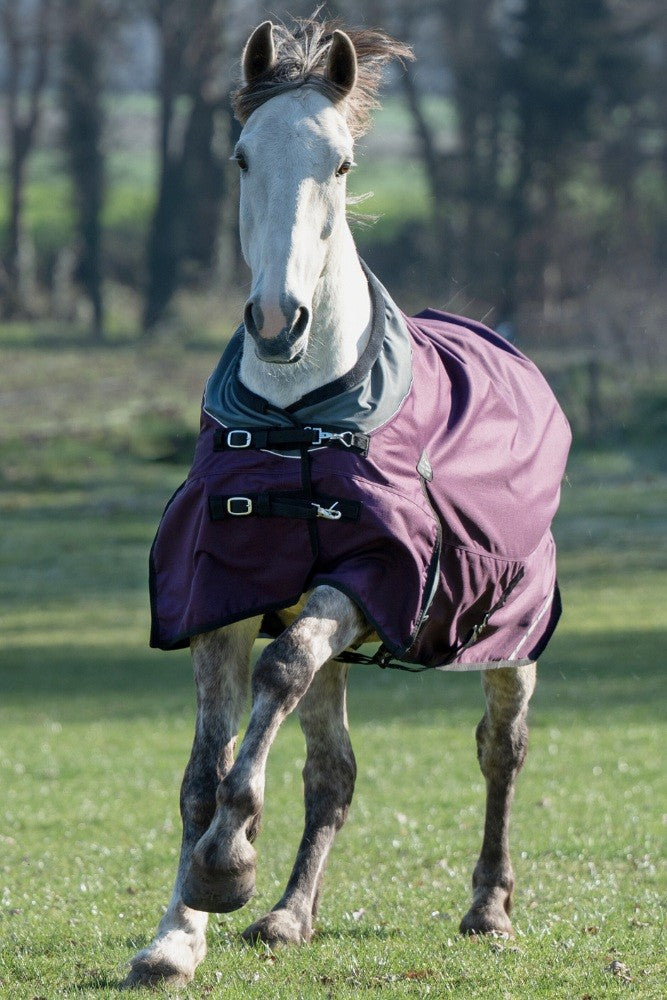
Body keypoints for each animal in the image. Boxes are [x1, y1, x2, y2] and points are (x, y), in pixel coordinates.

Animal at [124, 18, 571, 988]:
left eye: (340, 162)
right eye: (242, 157)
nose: (276, 320)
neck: (300, 427)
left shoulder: (372, 580)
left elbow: (276, 677)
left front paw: (227, 864)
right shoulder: (220, 592)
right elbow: (203, 771)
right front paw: (178, 933)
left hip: (512, 633)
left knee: (500, 751)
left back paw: (488, 907)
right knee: (332, 771)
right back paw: (290, 914)